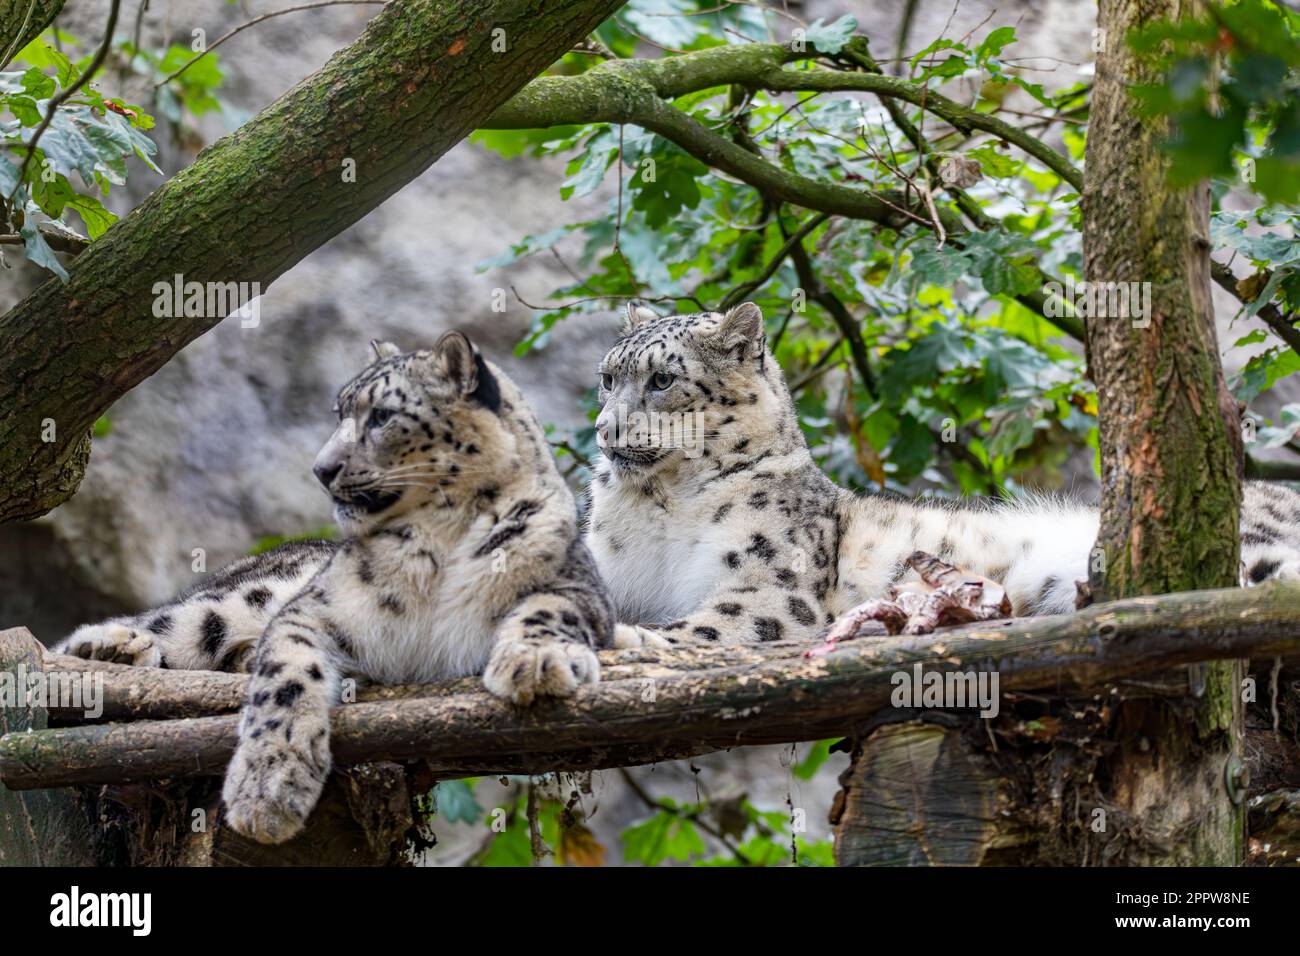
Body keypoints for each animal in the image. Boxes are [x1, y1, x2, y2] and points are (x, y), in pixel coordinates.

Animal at [58, 332, 614, 844]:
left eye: (383, 415)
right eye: (339, 412)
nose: (322, 469)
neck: (440, 538)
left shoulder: (581, 591)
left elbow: (549, 608)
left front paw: (537, 664)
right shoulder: (314, 610)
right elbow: (285, 675)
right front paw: (267, 790)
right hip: (229, 604)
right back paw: (113, 647)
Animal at [587, 301, 1300, 649]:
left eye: (662, 379)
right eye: (607, 377)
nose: (604, 429)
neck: (661, 503)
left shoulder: (768, 587)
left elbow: (700, 623)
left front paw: (626, 637)